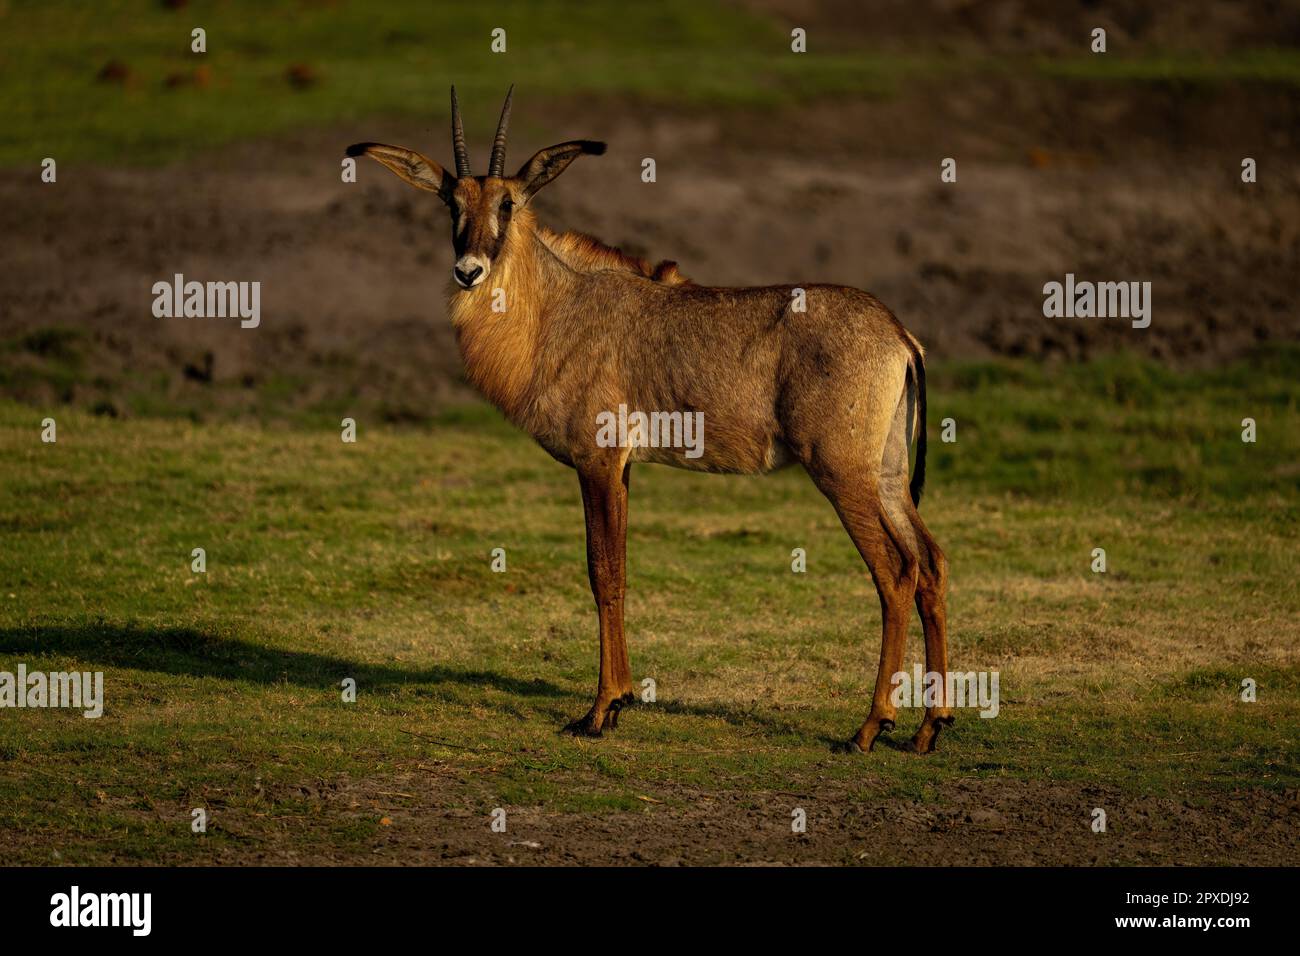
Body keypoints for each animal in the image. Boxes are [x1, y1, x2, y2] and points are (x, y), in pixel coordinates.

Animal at [347, 88, 954, 754]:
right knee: (930, 563)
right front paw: (620, 700)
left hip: (843, 474)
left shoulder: (597, 461)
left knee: (895, 573)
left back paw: (871, 726)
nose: (469, 271)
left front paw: (601, 709)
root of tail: (900, 336)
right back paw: (930, 725)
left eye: (508, 202)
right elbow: (620, 570)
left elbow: (603, 574)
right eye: (451, 203)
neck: (555, 308)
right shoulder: (624, 468)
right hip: (888, 478)